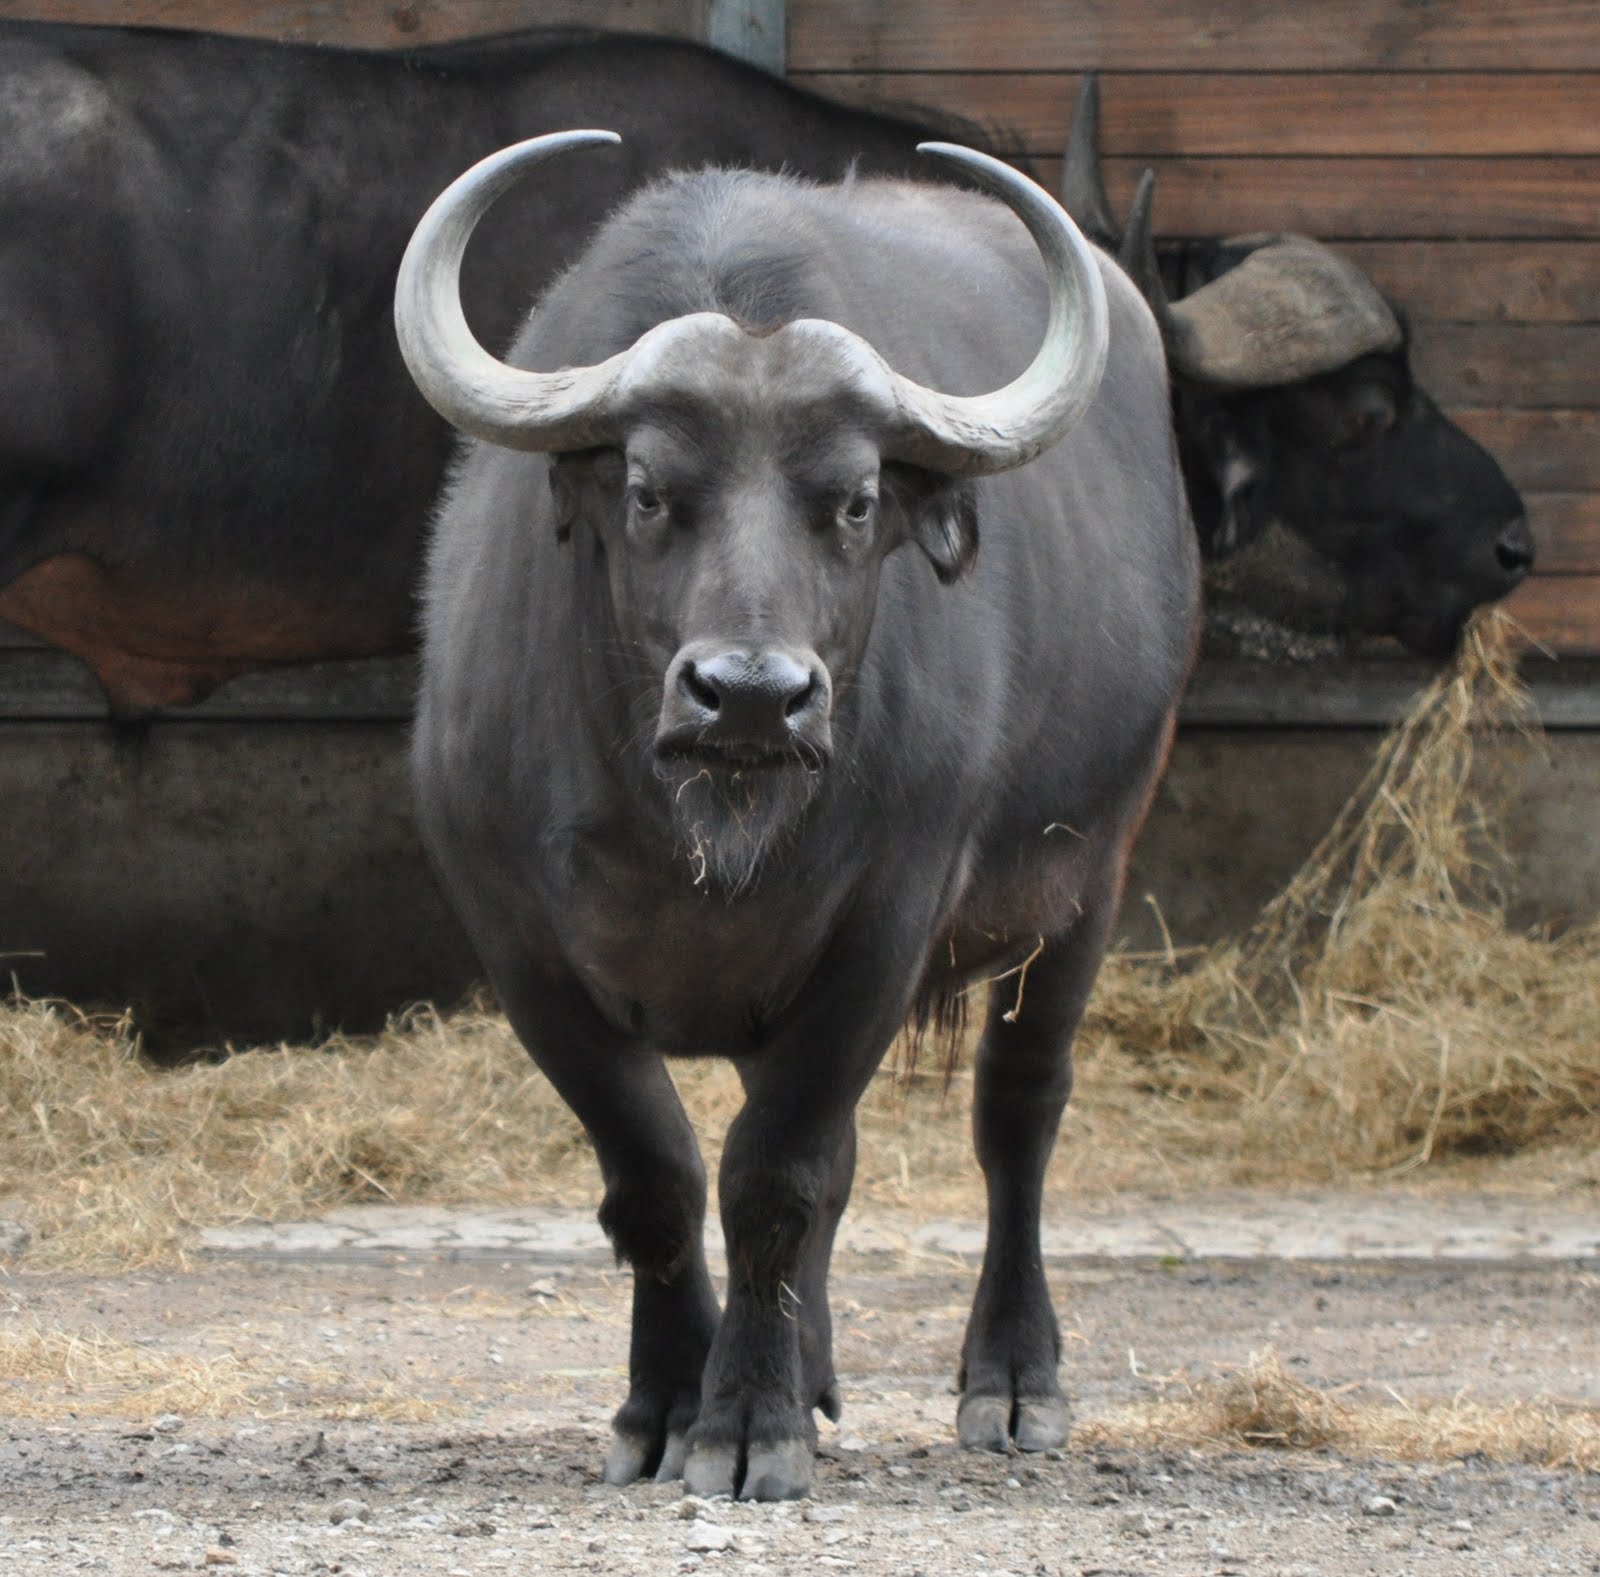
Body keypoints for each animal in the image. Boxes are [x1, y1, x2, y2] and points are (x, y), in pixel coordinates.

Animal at [396, 134, 1199, 1498]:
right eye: (650, 490)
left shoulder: (884, 920)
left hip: (1091, 871)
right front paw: (669, 1400)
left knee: (1017, 1111)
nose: (753, 695)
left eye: (857, 500)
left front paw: (747, 1420)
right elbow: (660, 1176)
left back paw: (1012, 1377)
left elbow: (775, 1173)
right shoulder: (519, 944)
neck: (686, 821)